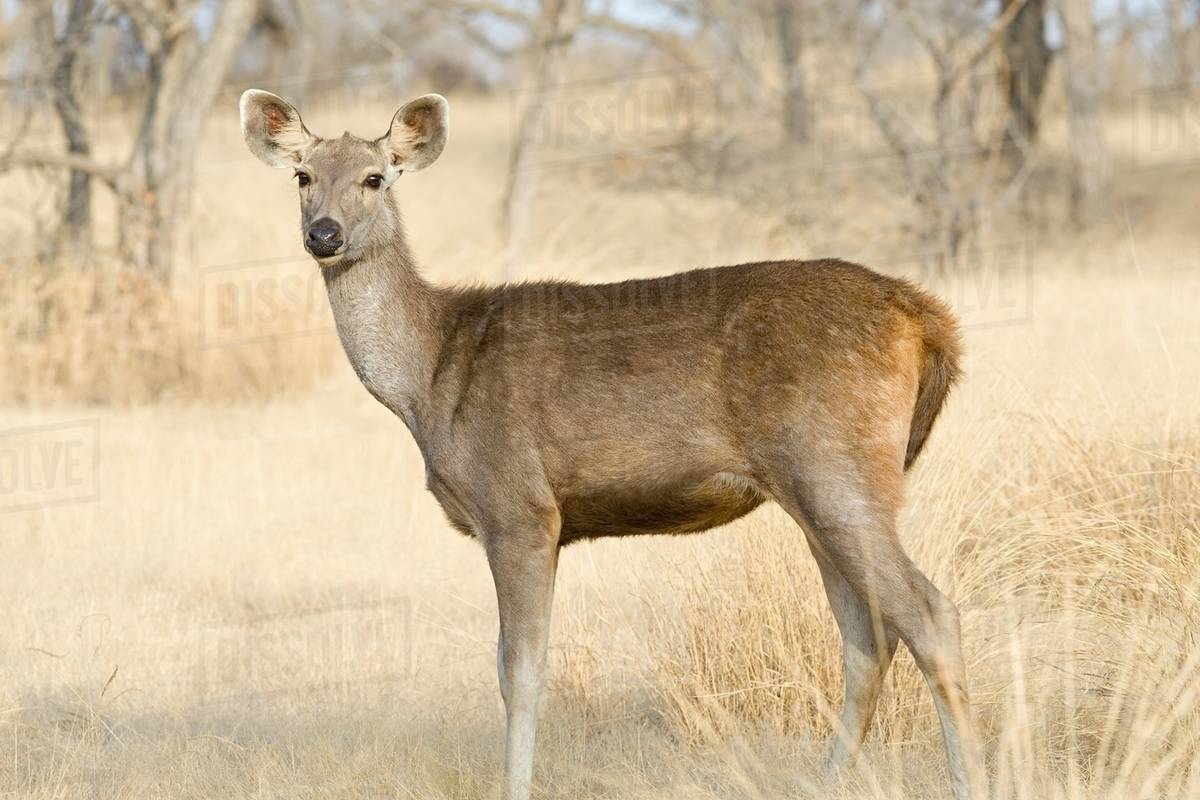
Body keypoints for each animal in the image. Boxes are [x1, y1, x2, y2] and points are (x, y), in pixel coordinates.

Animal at [239, 89, 986, 800]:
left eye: (375, 177)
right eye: (304, 175)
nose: (323, 233)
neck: (429, 376)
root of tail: (925, 319)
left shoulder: (518, 506)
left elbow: (518, 670)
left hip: (836, 467)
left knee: (929, 615)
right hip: (817, 490)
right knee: (866, 638)